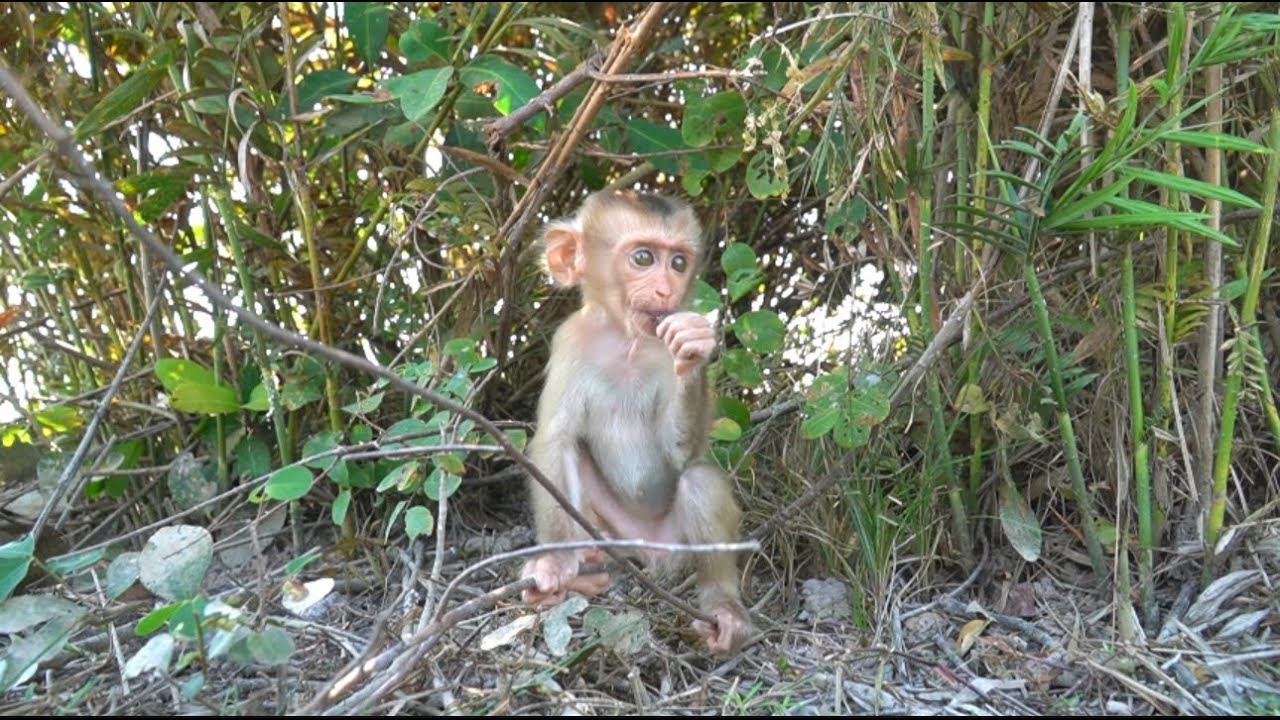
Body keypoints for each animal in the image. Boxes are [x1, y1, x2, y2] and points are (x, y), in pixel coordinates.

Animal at [521, 190, 752, 654]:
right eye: (643, 258)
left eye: (678, 263)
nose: (666, 290)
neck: (624, 341)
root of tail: (651, 555)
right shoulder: (569, 342)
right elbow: (555, 443)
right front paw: (554, 563)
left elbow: (681, 454)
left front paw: (694, 348)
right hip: (617, 534)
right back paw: (586, 573)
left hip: (677, 548)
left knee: (699, 482)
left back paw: (724, 609)